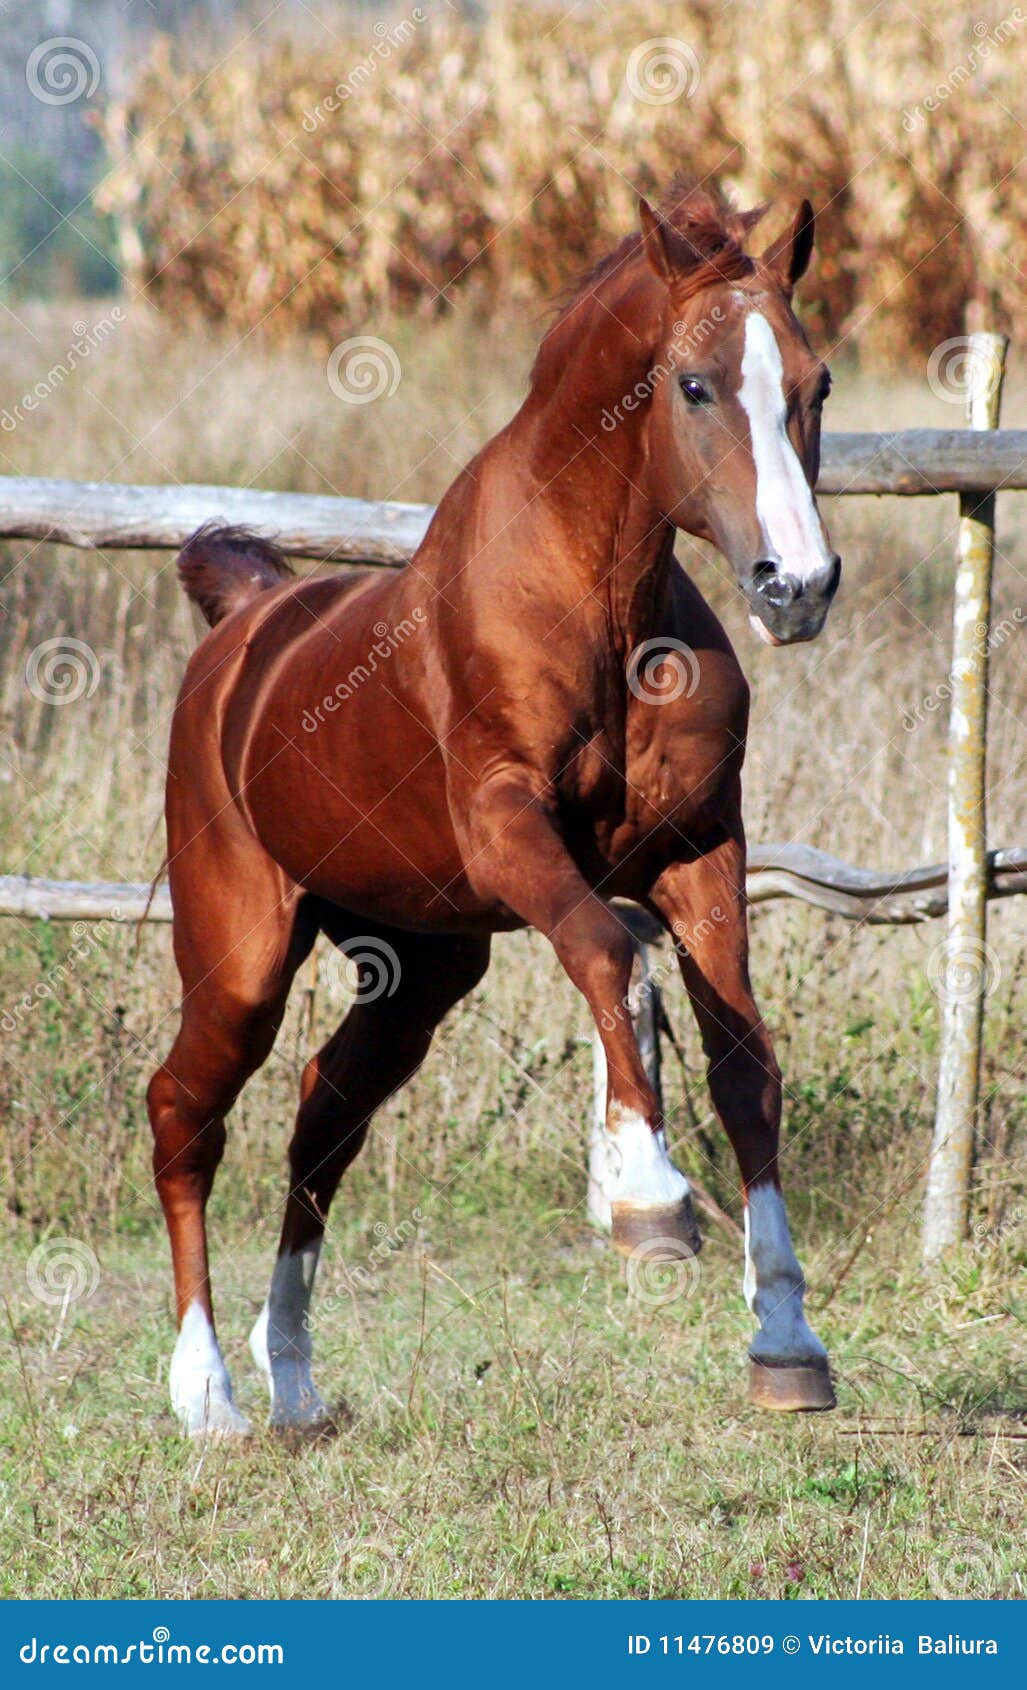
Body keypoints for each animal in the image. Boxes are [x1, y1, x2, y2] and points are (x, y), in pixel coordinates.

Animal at [149, 179, 841, 1437]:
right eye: (693, 384)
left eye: (816, 385)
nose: (797, 587)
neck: (602, 609)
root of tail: (246, 625)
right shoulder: (510, 828)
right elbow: (610, 953)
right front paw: (645, 1198)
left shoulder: (699, 848)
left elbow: (744, 1064)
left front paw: (786, 1344)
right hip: (239, 957)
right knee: (186, 1113)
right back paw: (207, 1392)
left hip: (417, 965)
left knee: (323, 1117)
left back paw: (296, 1381)